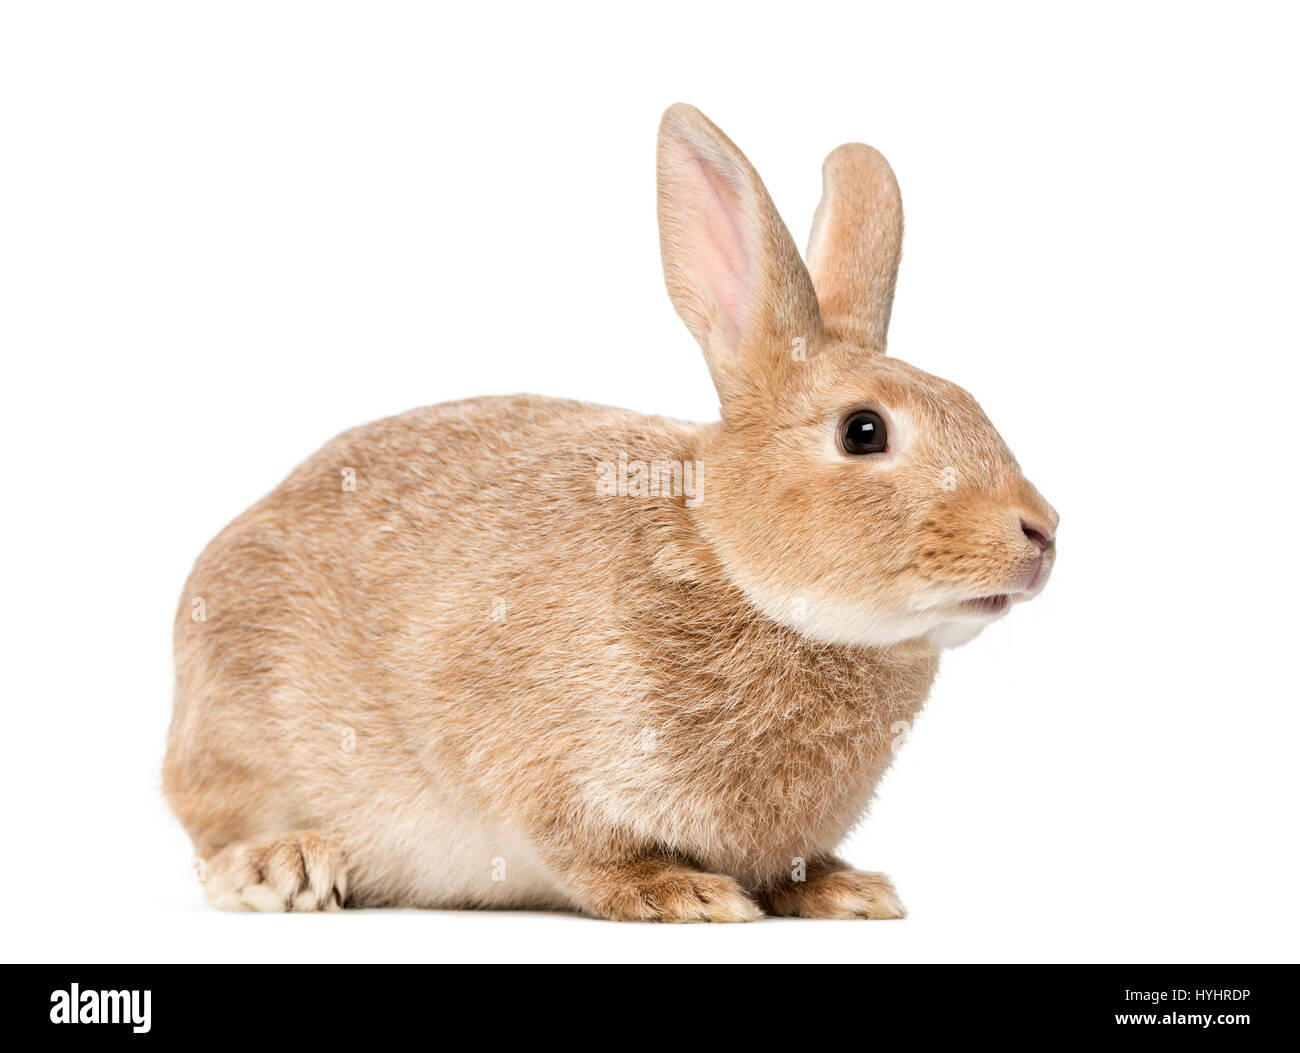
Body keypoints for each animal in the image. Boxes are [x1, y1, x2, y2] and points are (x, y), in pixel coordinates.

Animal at [164, 103, 1058, 921]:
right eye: (863, 431)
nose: (1042, 532)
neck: (732, 565)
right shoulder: (534, 767)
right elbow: (590, 854)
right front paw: (688, 894)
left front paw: (849, 891)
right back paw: (284, 866)